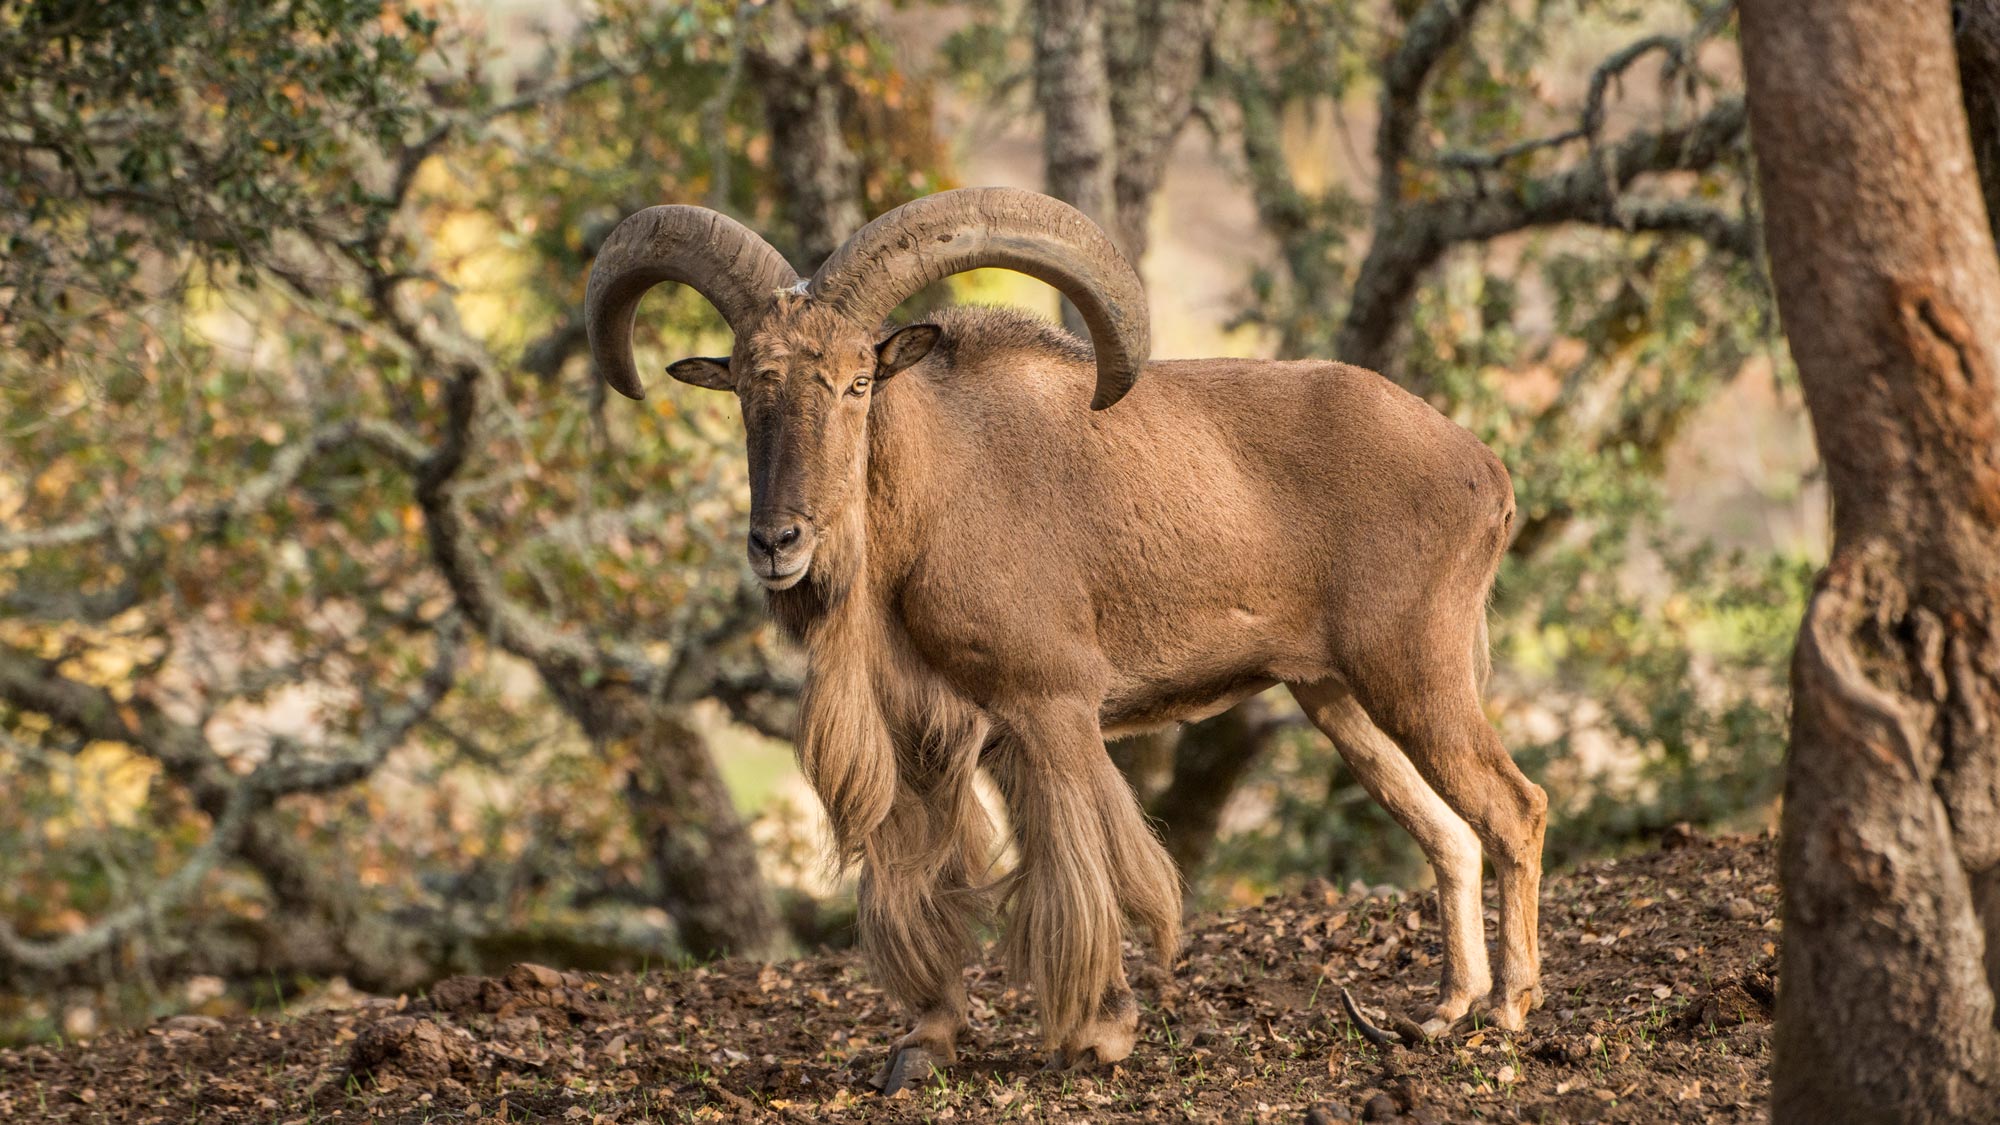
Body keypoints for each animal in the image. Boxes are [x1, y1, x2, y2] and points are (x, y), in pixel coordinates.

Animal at [583, 187, 1545, 1091]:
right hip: (1336, 694)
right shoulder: (930, 732)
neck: (931, 494)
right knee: (1450, 835)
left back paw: (1508, 1008)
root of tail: (1487, 469)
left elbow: (1086, 861)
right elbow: (927, 875)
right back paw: (1446, 1008)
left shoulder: (1049, 703)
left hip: (1414, 671)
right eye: (751, 387)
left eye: (858, 381)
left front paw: (1100, 1030)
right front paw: (924, 1043)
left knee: (1515, 807)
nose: (778, 541)